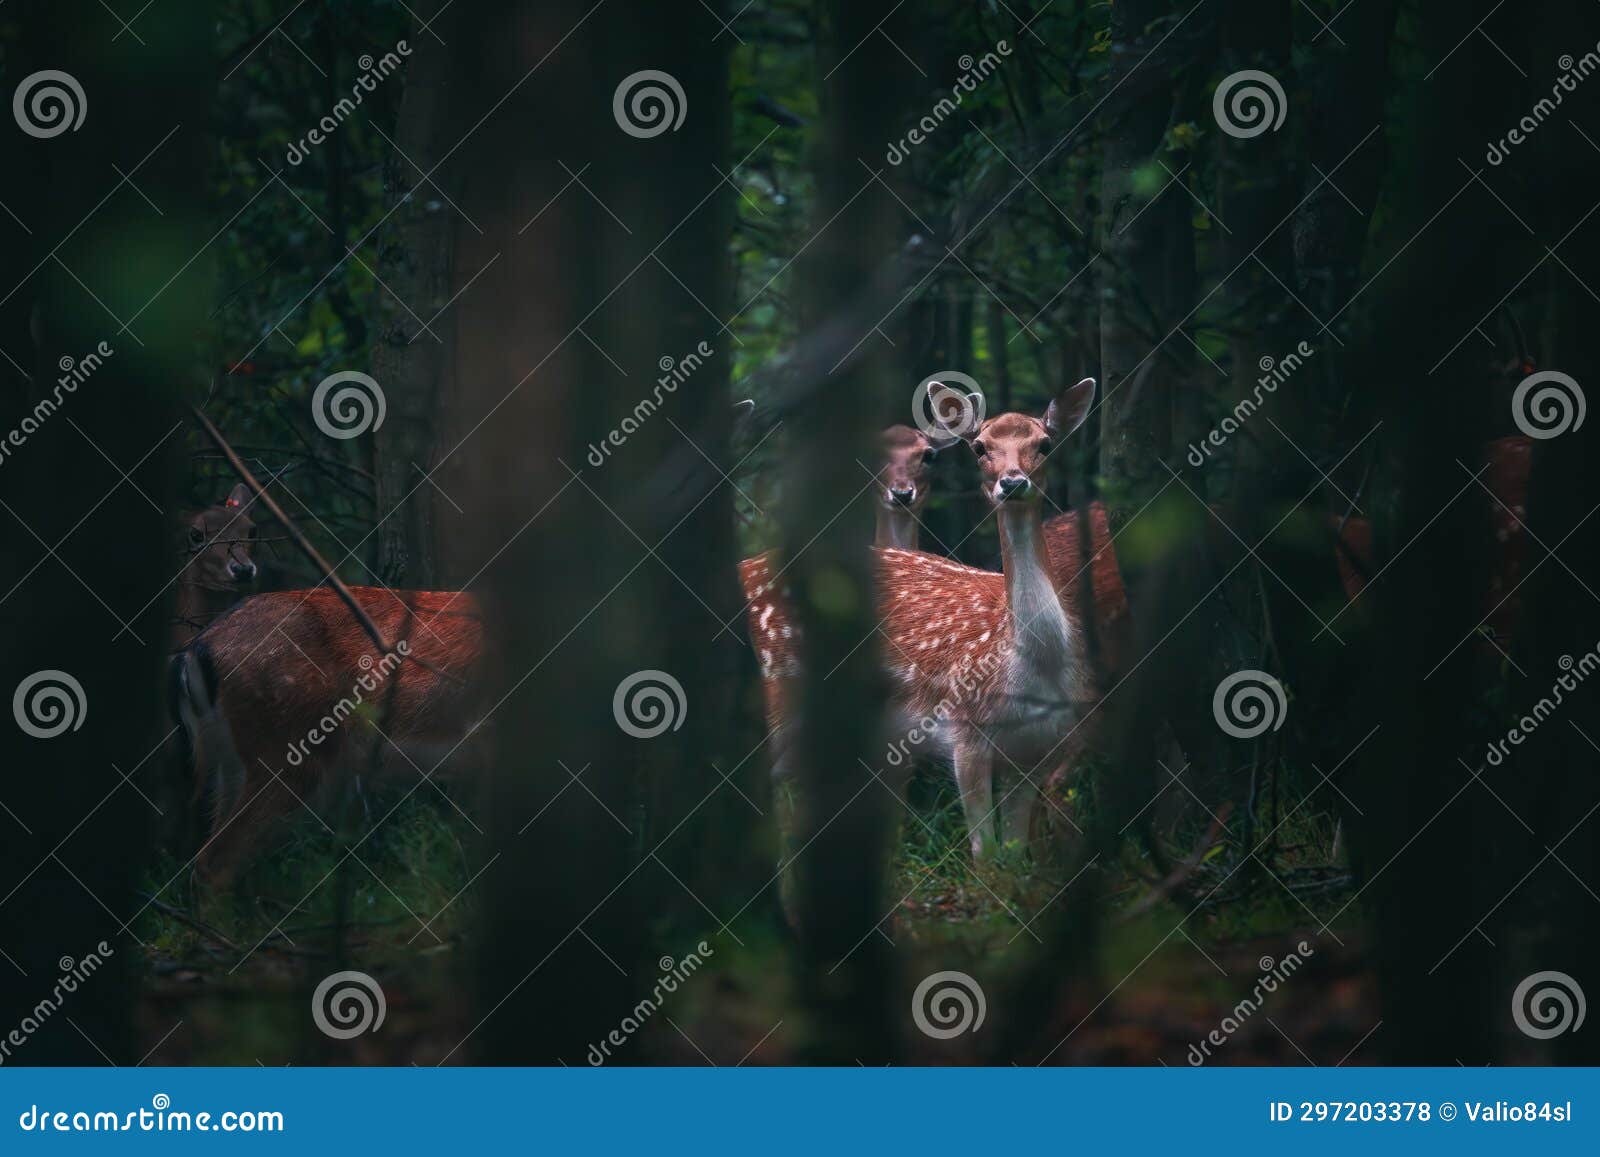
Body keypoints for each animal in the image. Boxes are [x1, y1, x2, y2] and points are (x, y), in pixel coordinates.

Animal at [743, 378, 1118, 858]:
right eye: (979, 446)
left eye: (1045, 443)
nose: (1012, 482)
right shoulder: (964, 732)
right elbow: (985, 856)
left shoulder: (1037, 750)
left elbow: (1014, 857)